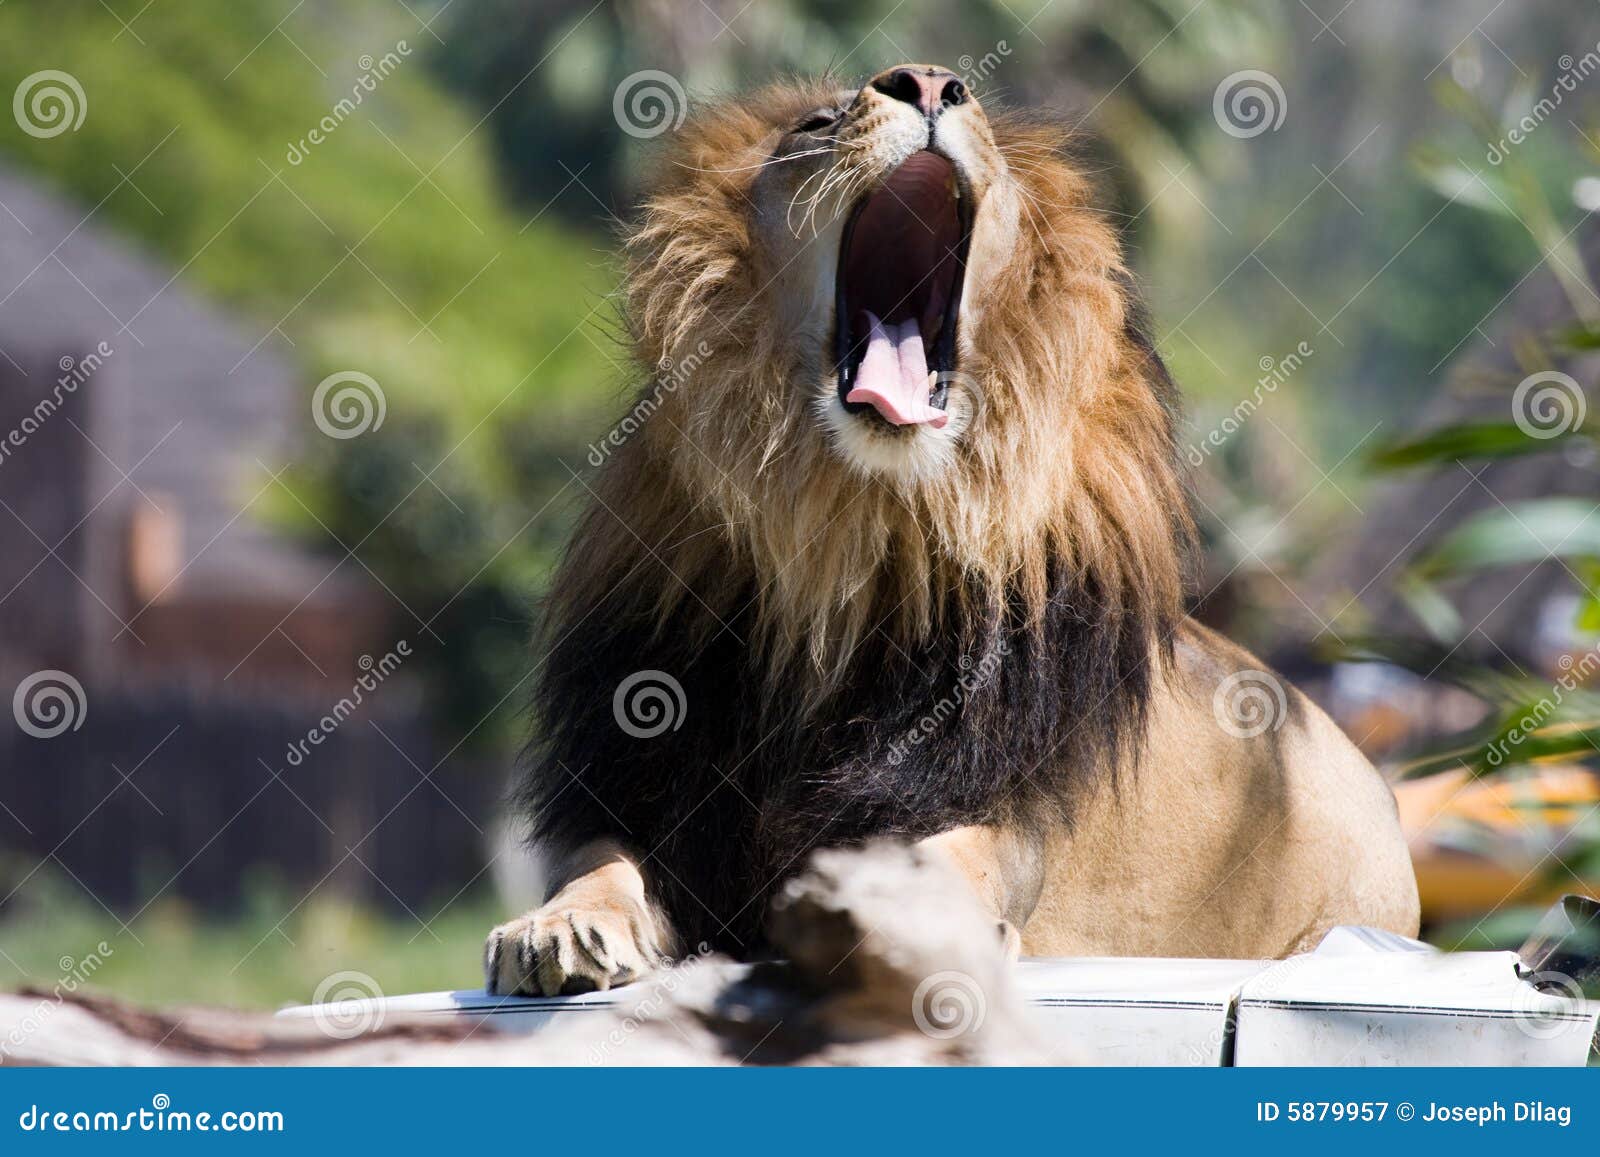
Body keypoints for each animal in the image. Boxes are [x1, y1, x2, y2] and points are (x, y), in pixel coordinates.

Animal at [484, 64, 1419, 997]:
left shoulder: (1002, 797)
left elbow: (943, 857)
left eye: (987, 132)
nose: (928, 81)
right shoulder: (634, 765)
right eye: (816, 125)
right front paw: (558, 926)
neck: (848, 532)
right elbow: (599, 859)